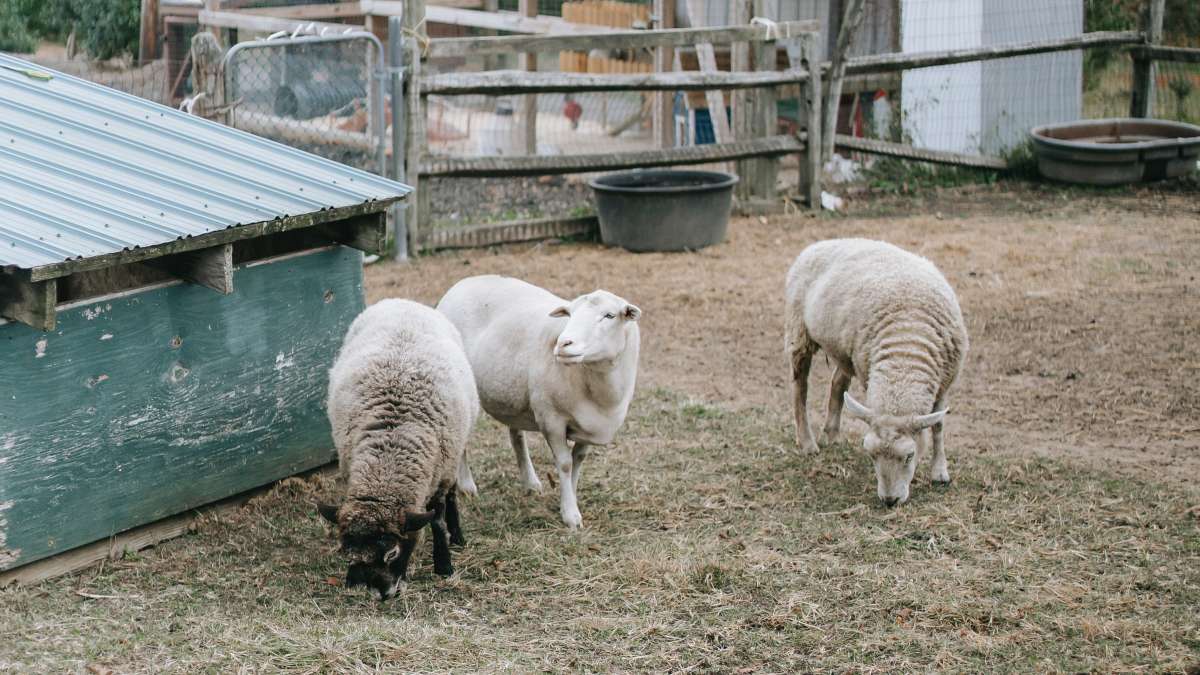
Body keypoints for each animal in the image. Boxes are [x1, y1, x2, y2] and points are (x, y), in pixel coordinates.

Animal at [318, 299, 479, 599]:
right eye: (348, 553)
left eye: (392, 553)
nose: (382, 595)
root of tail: (403, 302)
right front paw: (351, 579)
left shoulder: (439, 474)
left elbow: (437, 521)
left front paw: (444, 565)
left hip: (454, 456)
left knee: (453, 495)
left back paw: (458, 536)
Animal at [437, 275, 641, 529]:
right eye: (570, 314)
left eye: (609, 315)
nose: (563, 344)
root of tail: (464, 282)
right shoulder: (551, 418)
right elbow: (565, 464)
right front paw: (571, 515)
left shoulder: (589, 427)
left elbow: (577, 462)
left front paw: (570, 500)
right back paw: (466, 485)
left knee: (516, 436)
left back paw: (530, 482)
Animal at [785, 238, 968, 507]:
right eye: (870, 455)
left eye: (909, 455)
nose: (890, 500)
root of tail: (821, 243)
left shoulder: (945, 383)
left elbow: (938, 427)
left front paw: (940, 472)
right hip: (799, 331)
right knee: (800, 387)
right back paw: (807, 442)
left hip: (846, 353)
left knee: (837, 383)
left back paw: (832, 434)